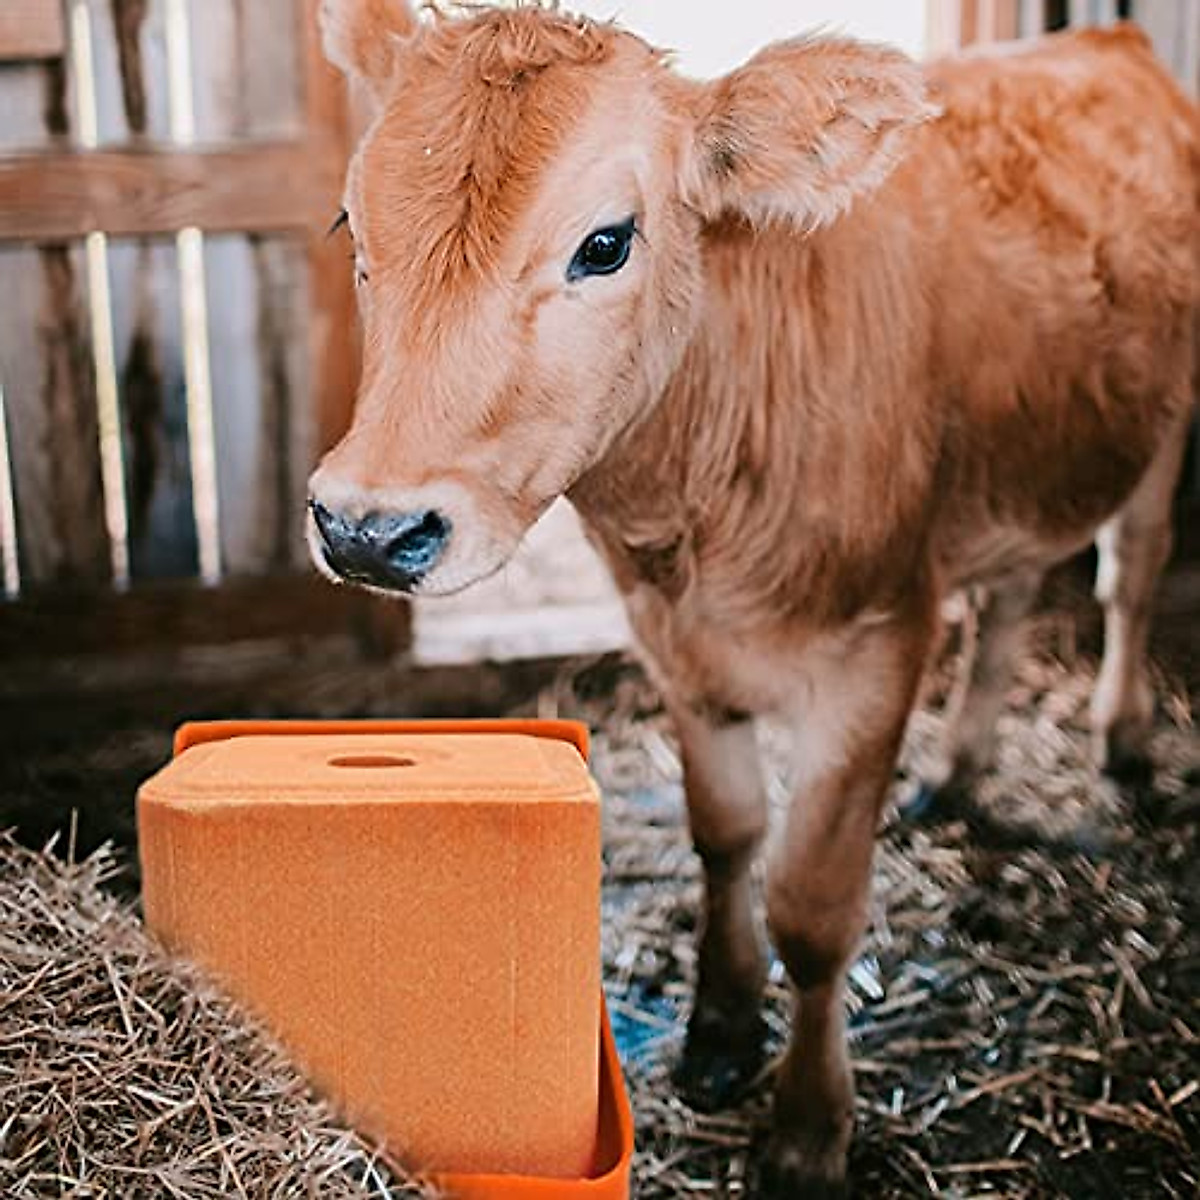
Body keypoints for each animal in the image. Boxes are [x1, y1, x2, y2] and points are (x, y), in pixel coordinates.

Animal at [308, 1, 1200, 1192]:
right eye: (351, 226)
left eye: (605, 243)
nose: (368, 528)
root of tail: (1109, 43)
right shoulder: (674, 646)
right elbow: (725, 834)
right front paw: (721, 1027)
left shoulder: (878, 648)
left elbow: (813, 911)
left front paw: (808, 1128)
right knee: (1010, 597)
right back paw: (959, 770)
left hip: (1165, 419)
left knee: (1131, 573)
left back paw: (1125, 744)